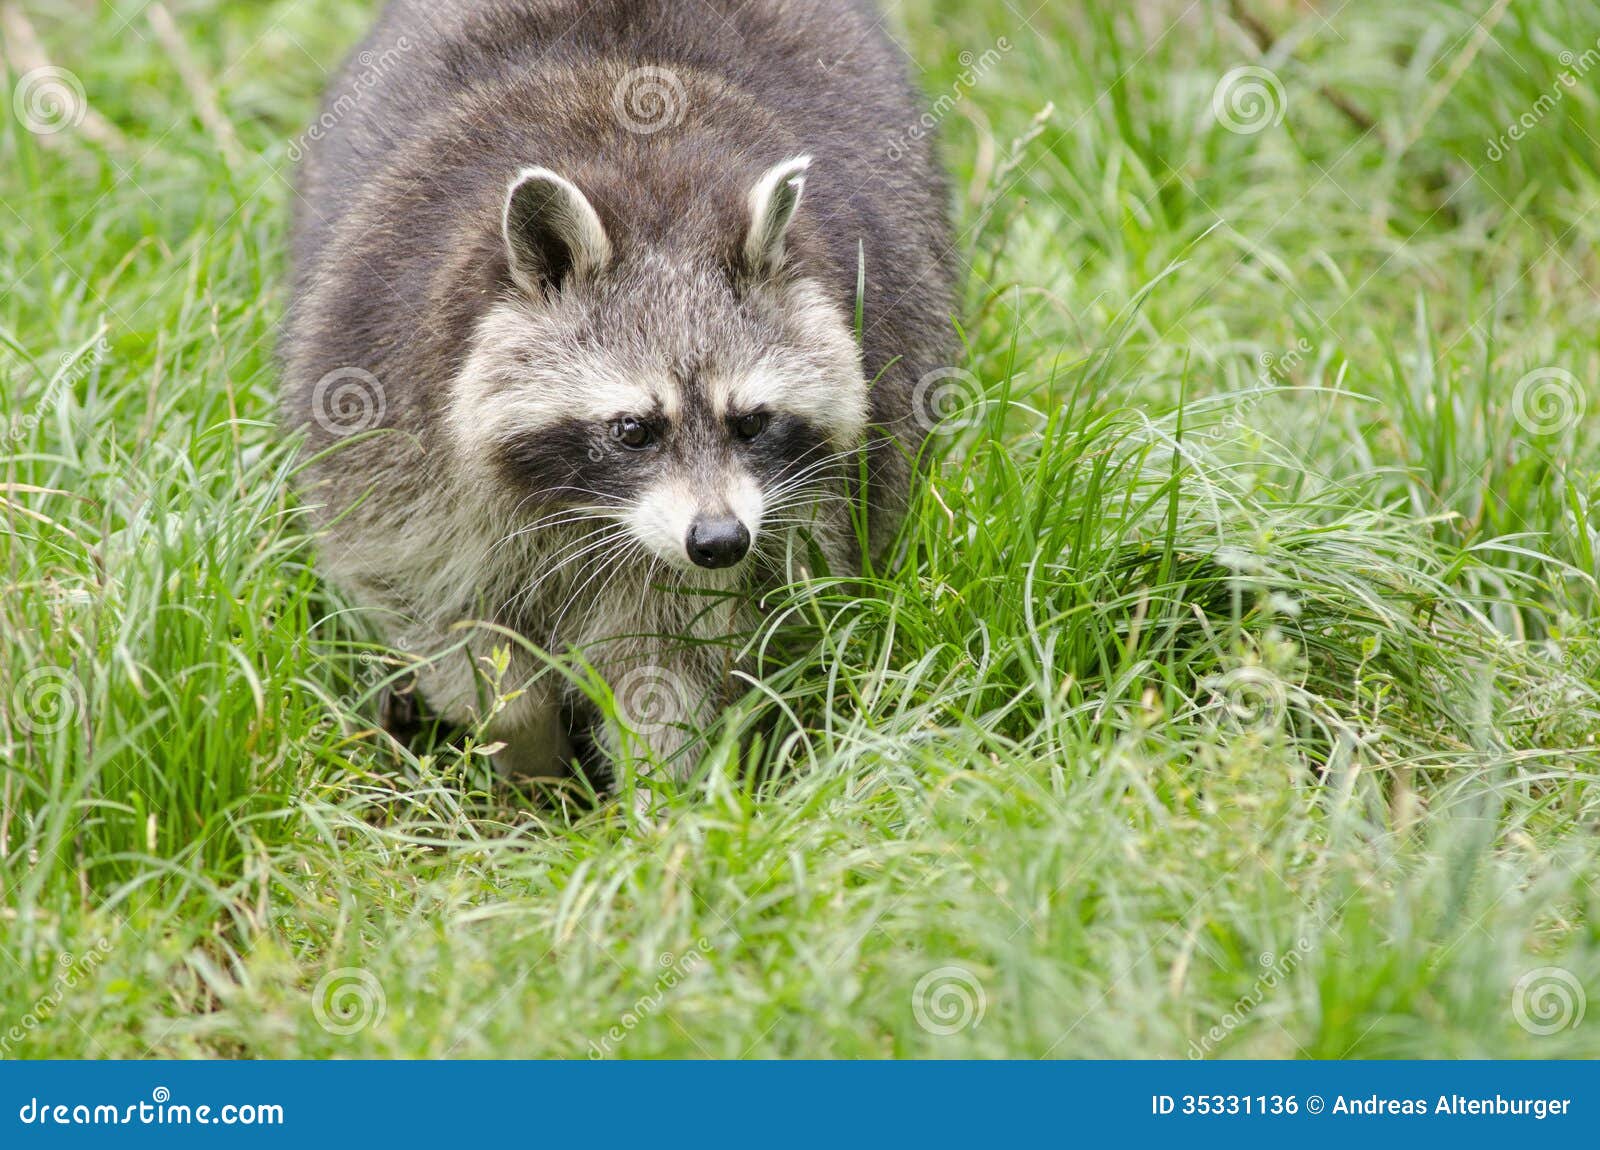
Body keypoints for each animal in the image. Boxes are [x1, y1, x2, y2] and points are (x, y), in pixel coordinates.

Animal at [281, 0, 956, 785]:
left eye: (751, 423)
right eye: (634, 430)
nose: (719, 540)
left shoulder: (776, 530)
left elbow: (666, 665)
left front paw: (660, 795)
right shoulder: (389, 425)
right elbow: (438, 611)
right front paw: (531, 757)